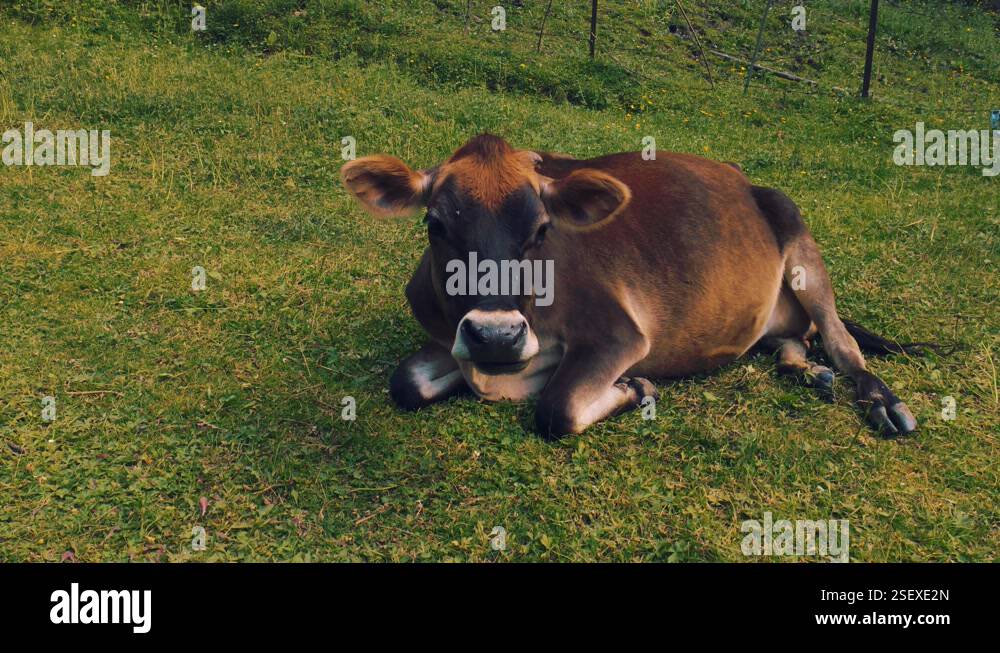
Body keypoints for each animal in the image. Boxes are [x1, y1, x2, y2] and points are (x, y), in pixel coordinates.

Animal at [341, 134, 925, 439]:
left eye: (542, 230)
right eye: (435, 225)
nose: (496, 337)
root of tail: (742, 178)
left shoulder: (618, 333)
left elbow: (557, 408)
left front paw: (635, 387)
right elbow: (406, 383)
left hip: (799, 235)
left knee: (842, 343)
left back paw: (879, 400)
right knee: (792, 339)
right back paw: (805, 371)